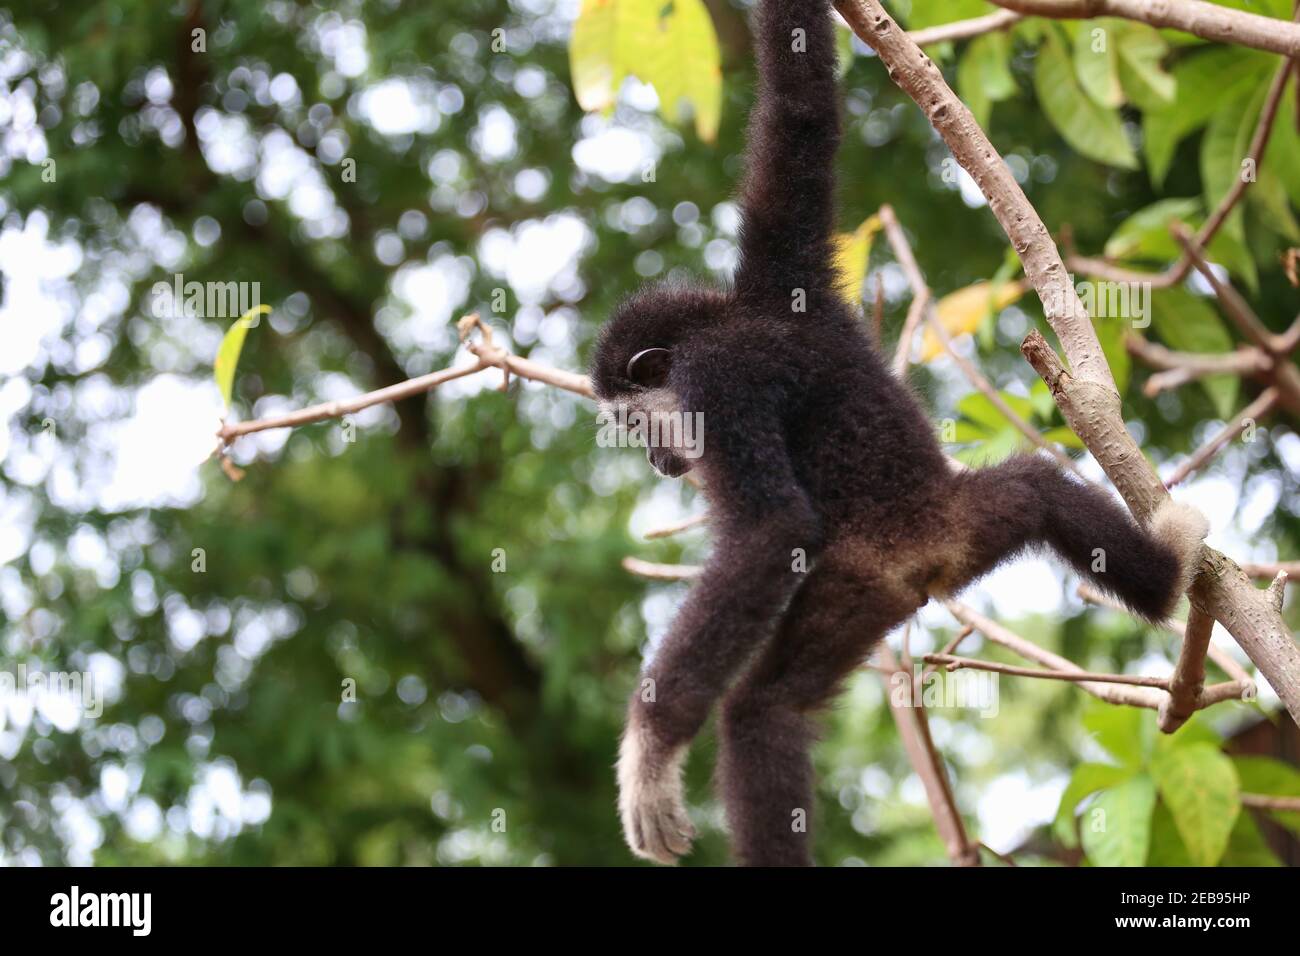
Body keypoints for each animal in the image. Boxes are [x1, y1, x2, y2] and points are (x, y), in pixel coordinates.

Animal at [588, 0, 1208, 867]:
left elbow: (772, 528)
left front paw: (647, 754)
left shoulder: (720, 376)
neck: (744, 316)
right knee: (770, 710)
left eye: (627, 421)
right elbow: (803, 110)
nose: (651, 457)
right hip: (893, 571)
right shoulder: (797, 273)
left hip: (898, 547)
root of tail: (934, 558)